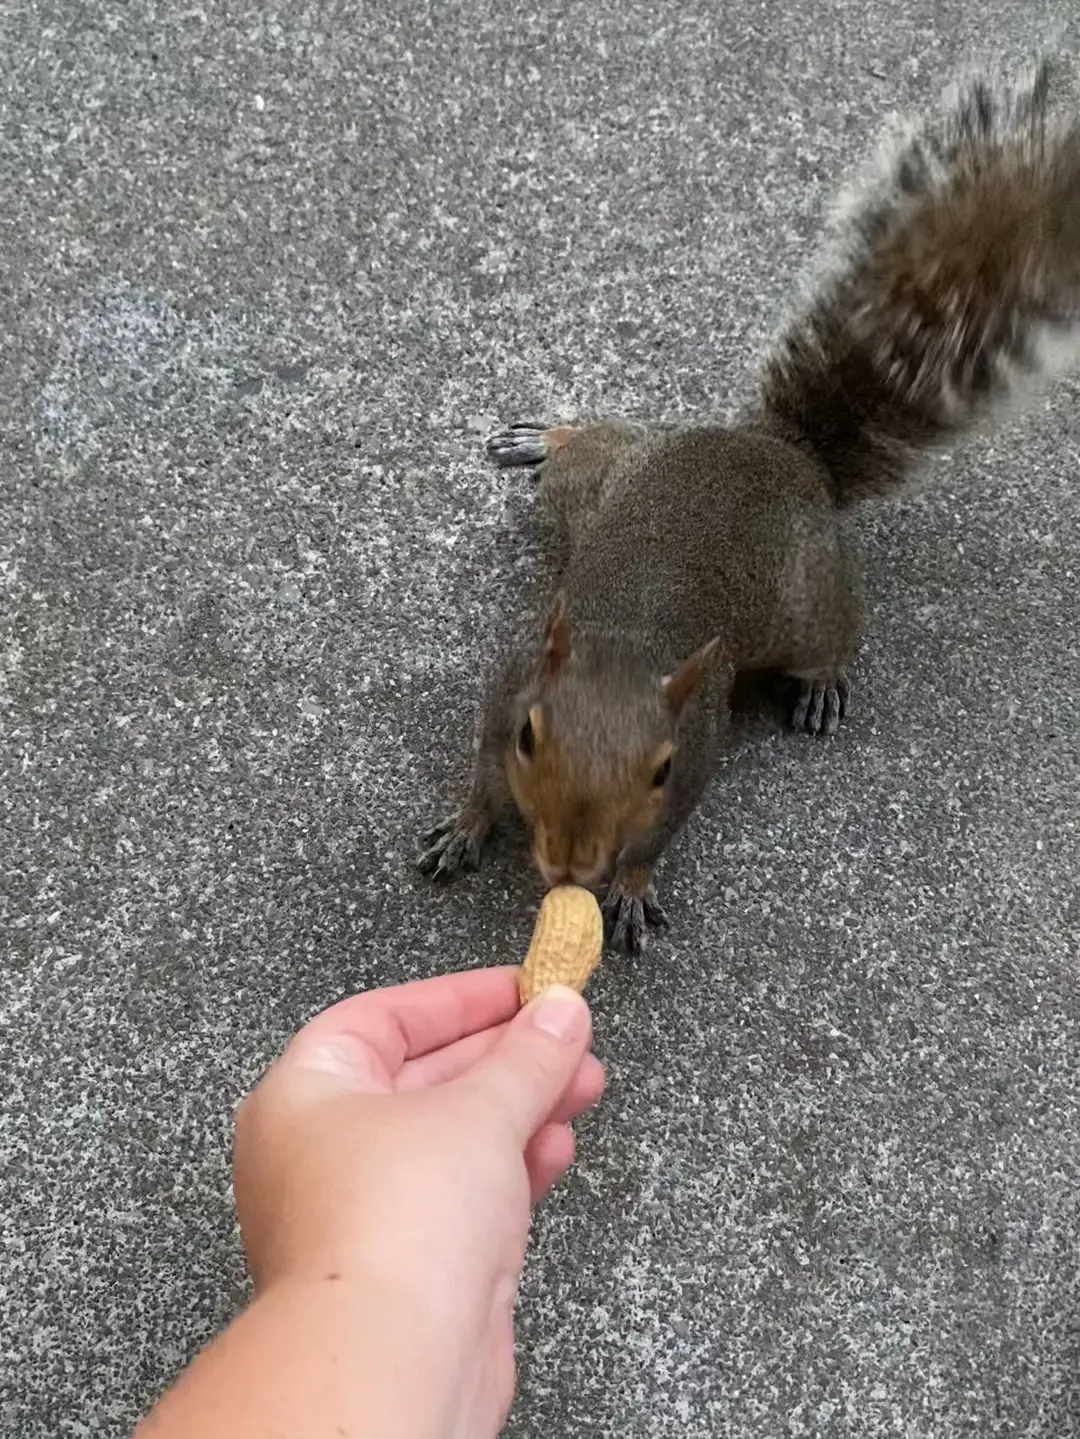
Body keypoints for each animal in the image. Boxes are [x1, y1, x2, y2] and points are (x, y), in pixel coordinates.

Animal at [418, 57, 1080, 954]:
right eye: (531, 734)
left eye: (660, 769)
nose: (570, 864)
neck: (624, 641)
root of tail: (778, 449)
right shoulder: (507, 690)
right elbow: (483, 777)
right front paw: (464, 826)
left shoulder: (697, 754)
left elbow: (657, 840)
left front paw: (629, 888)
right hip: (597, 484)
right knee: (588, 451)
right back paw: (543, 439)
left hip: (807, 596)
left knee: (837, 632)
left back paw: (822, 684)